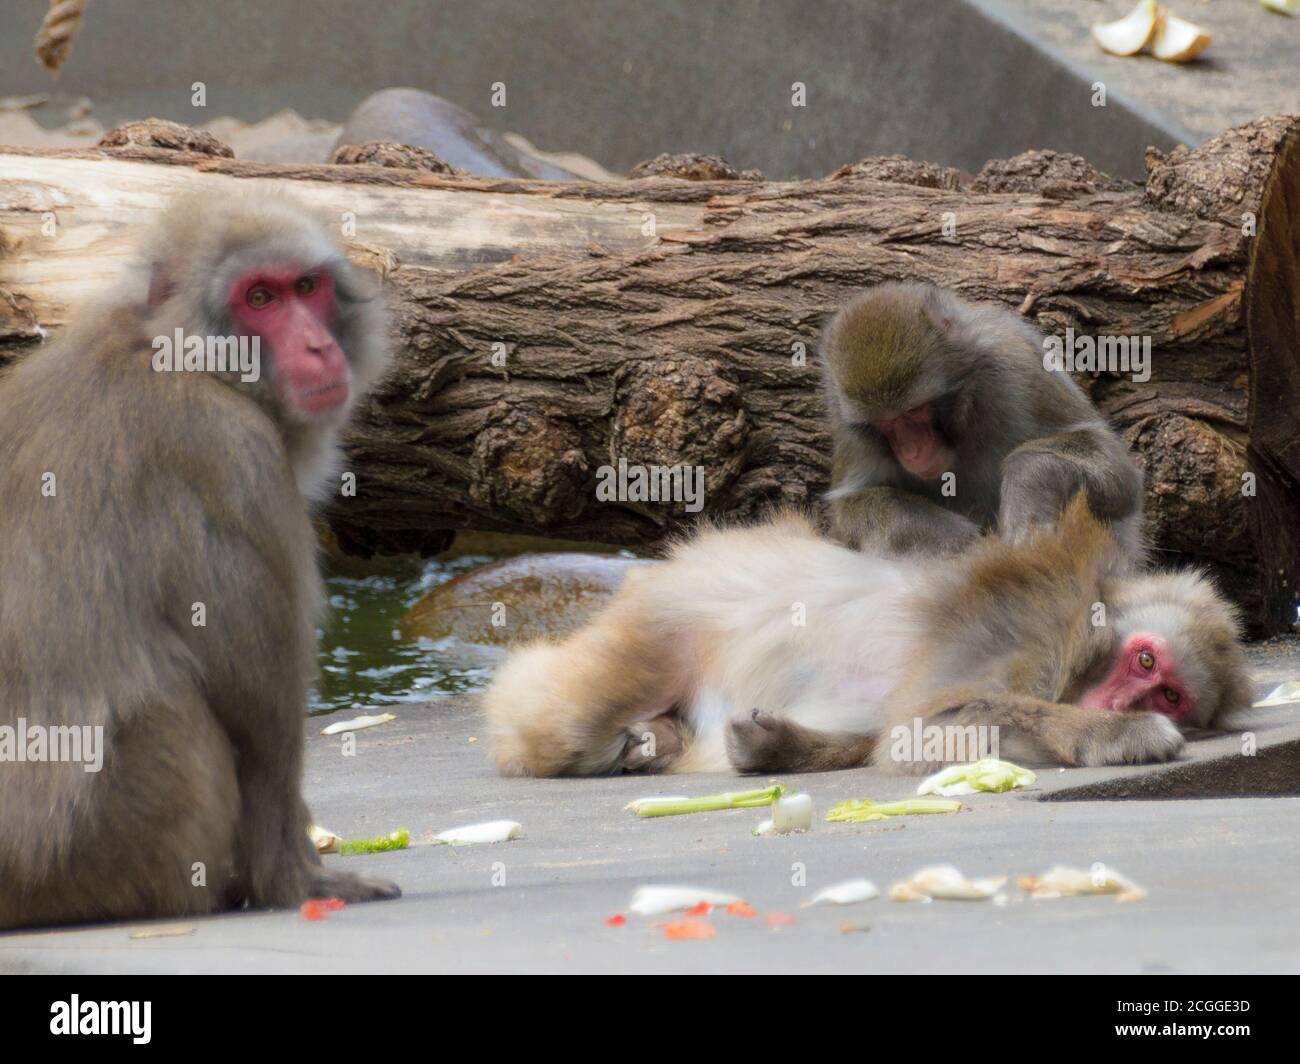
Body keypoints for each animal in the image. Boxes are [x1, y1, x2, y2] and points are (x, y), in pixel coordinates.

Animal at [0, 191, 400, 930]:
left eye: (307, 288)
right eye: (260, 298)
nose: (316, 345)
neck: (175, 352)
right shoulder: (235, 455)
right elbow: (262, 717)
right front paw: (297, 879)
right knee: (185, 715)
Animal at [484, 496, 1250, 778]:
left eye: (1172, 692)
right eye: (1143, 660)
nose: (1122, 702)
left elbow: (890, 733)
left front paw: (775, 747)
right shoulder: (1034, 627)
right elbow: (922, 726)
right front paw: (1120, 736)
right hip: (663, 621)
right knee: (561, 722)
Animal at [820, 282, 1145, 560]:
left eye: (915, 410)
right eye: (884, 424)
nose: (912, 450)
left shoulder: (1015, 367)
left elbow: (1118, 471)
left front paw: (1028, 488)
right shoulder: (844, 423)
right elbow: (847, 508)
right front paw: (961, 542)